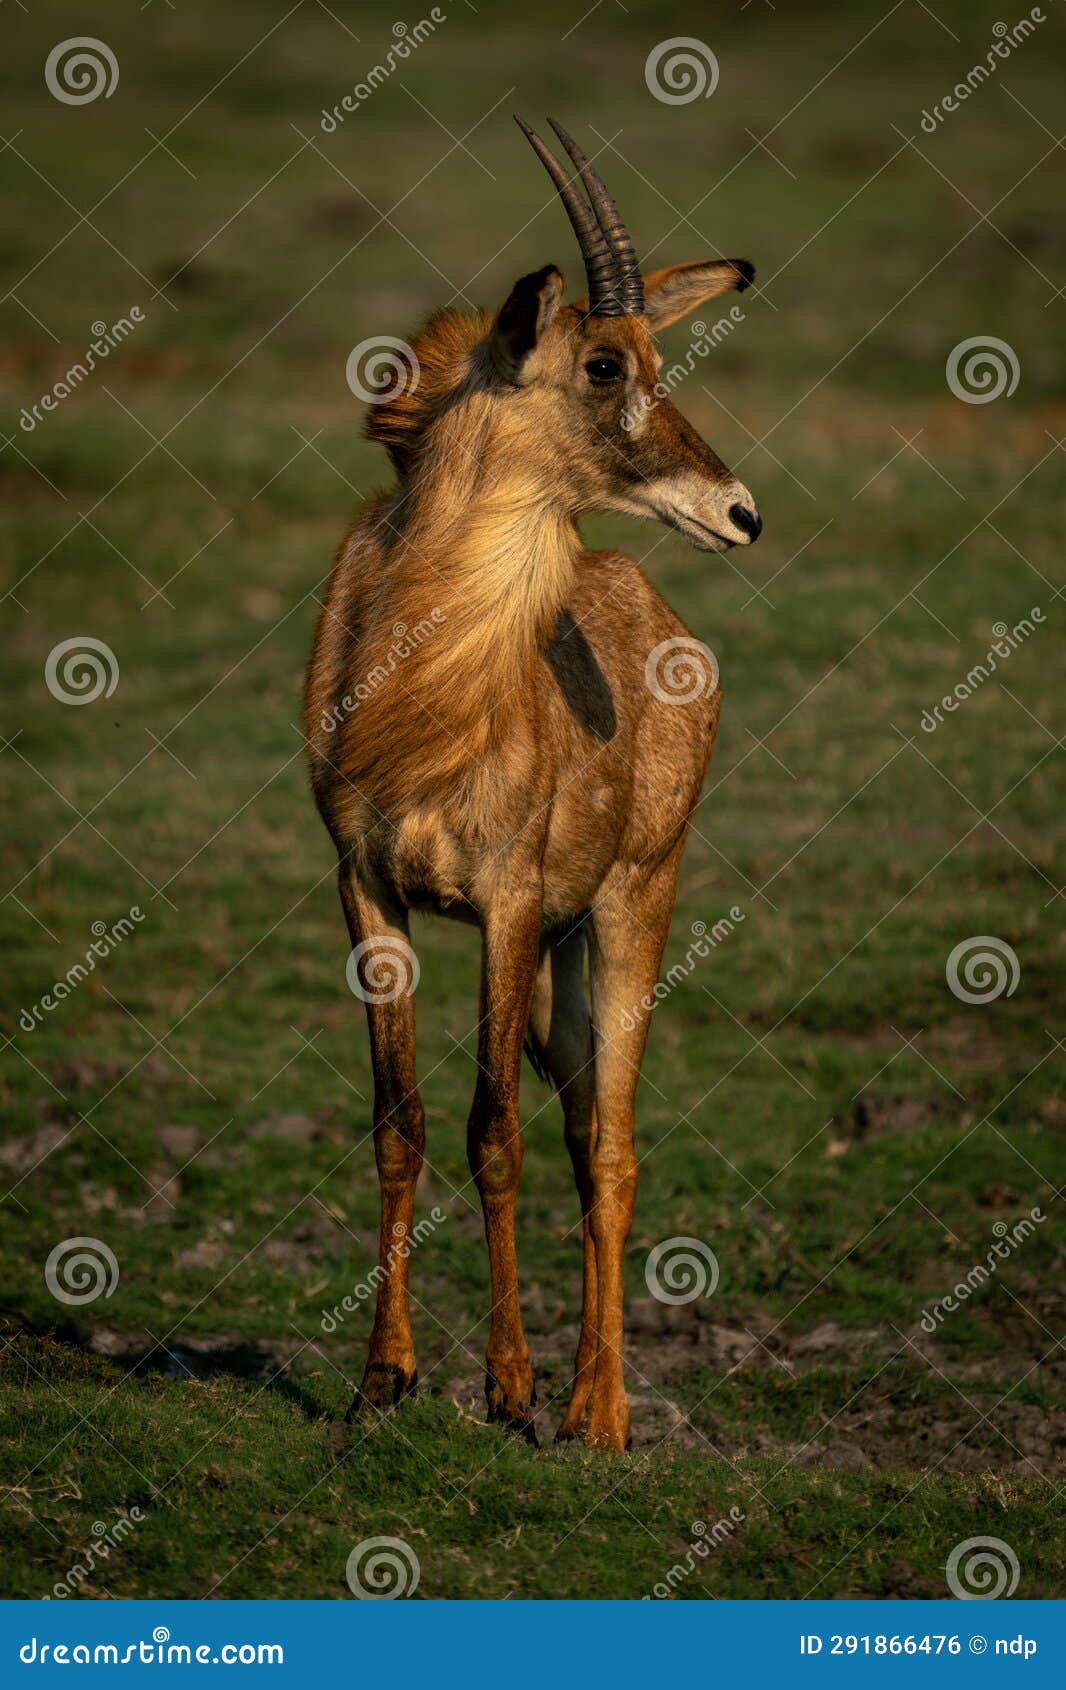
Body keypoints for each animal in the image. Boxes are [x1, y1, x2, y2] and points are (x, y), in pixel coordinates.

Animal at [304, 117, 761, 1451]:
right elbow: (400, 1127)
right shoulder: (367, 889)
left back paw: (594, 1412)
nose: (739, 511)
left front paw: (504, 1386)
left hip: (628, 906)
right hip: (562, 946)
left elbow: (488, 1132)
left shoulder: (503, 899)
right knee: (580, 1122)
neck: (423, 678)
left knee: (610, 1146)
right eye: (605, 364)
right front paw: (382, 1377)